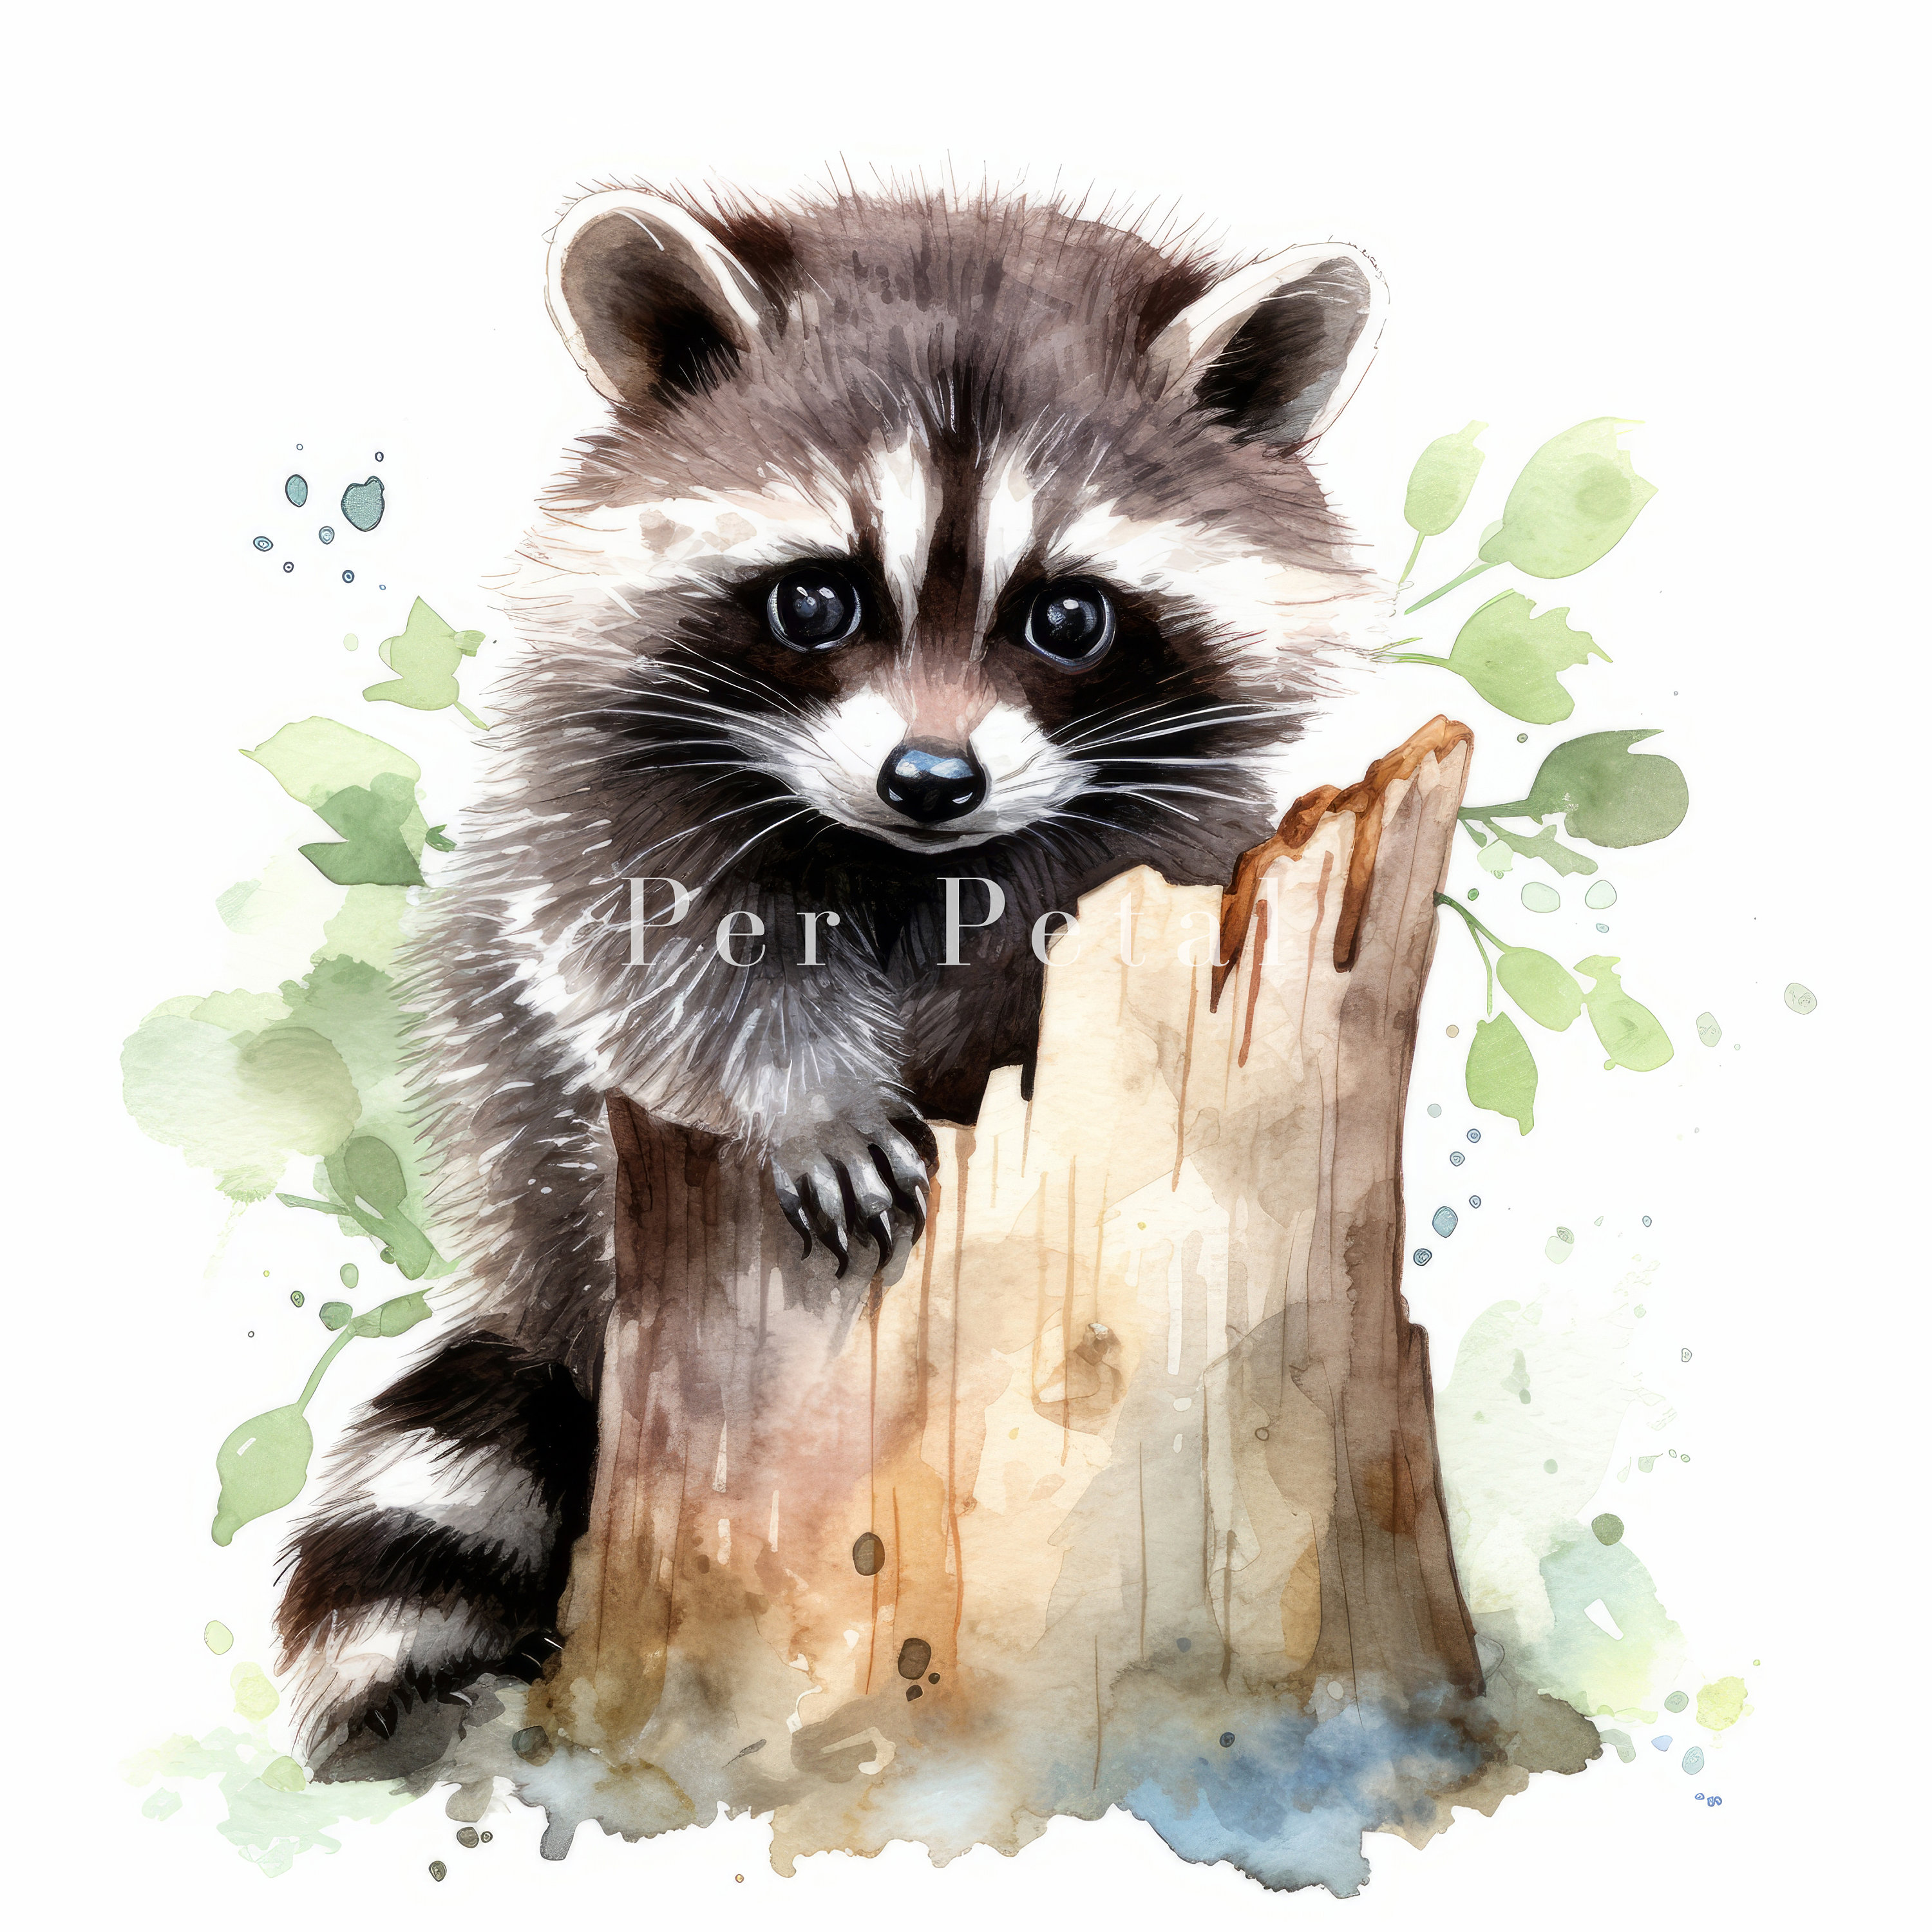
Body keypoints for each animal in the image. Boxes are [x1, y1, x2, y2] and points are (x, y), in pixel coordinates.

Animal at [276, 180, 1385, 1777]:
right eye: (816, 601)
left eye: (1069, 616)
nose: (932, 779)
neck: (905, 861)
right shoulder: (601, 798)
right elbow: (645, 950)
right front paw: (804, 1095)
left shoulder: (1174, 840)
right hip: (530, 1132)